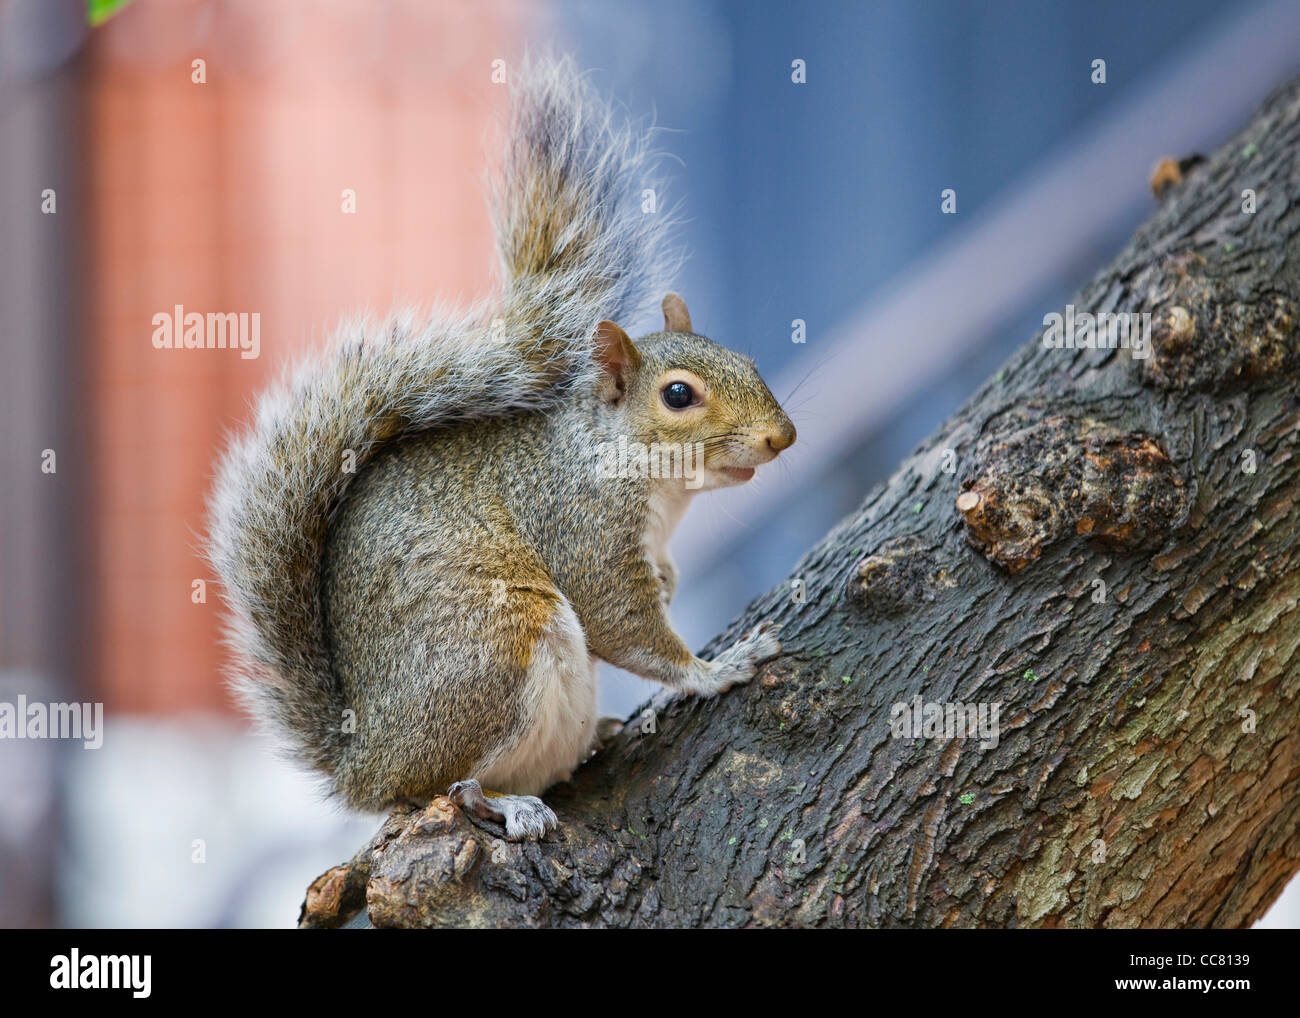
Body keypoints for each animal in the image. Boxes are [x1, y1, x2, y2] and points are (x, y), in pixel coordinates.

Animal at [207, 53, 795, 841]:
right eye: (678, 396)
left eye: (748, 360)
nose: (782, 436)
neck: (652, 486)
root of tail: (362, 759)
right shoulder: (581, 526)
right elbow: (626, 624)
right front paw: (718, 668)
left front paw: (673, 582)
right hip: (492, 650)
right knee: (432, 789)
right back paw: (499, 800)